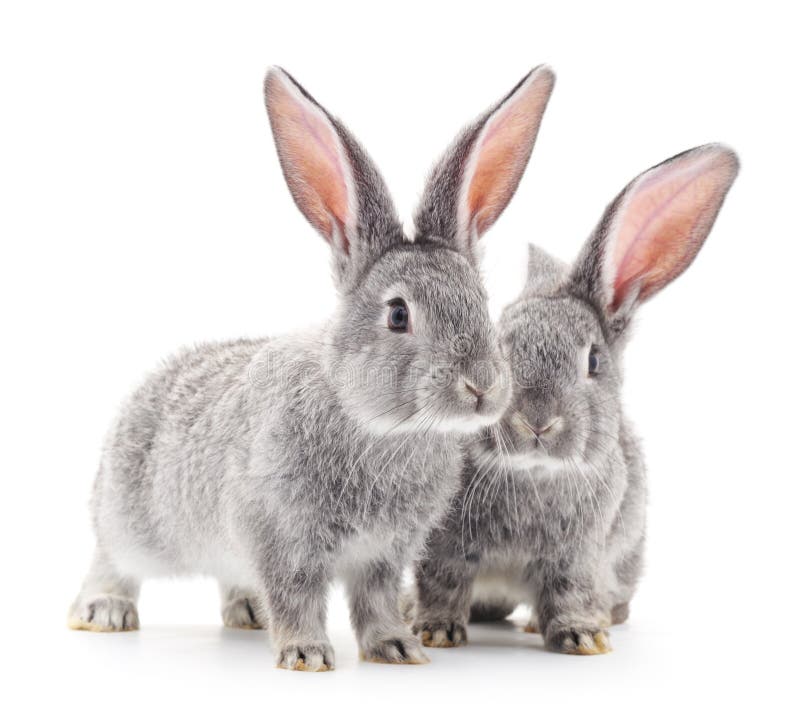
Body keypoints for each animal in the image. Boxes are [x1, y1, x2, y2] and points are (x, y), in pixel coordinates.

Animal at [67, 65, 556, 671]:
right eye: (398, 314)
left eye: (482, 304)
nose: (483, 386)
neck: (379, 425)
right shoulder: (281, 536)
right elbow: (296, 594)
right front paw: (306, 654)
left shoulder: (382, 555)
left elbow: (374, 601)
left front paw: (397, 647)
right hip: (134, 520)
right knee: (112, 556)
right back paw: (104, 610)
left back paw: (247, 613)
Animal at [411, 143, 739, 655]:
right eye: (500, 344)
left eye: (594, 362)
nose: (537, 422)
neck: (533, 474)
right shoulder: (446, 547)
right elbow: (442, 583)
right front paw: (436, 629)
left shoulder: (578, 556)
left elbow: (569, 592)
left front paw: (581, 636)